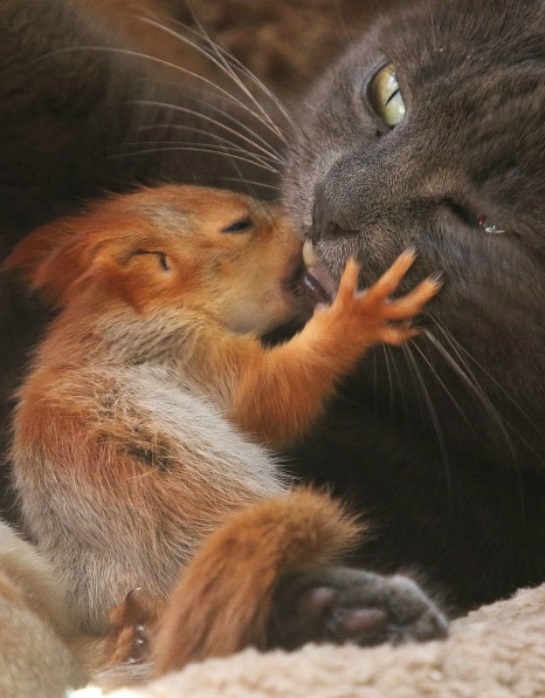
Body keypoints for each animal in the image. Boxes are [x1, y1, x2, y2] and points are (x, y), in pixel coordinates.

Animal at [4, 184, 444, 681]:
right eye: (238, 225)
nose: (310, 225)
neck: (129, 309)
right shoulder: (186, 350)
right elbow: (270, 396)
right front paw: (358, 313)